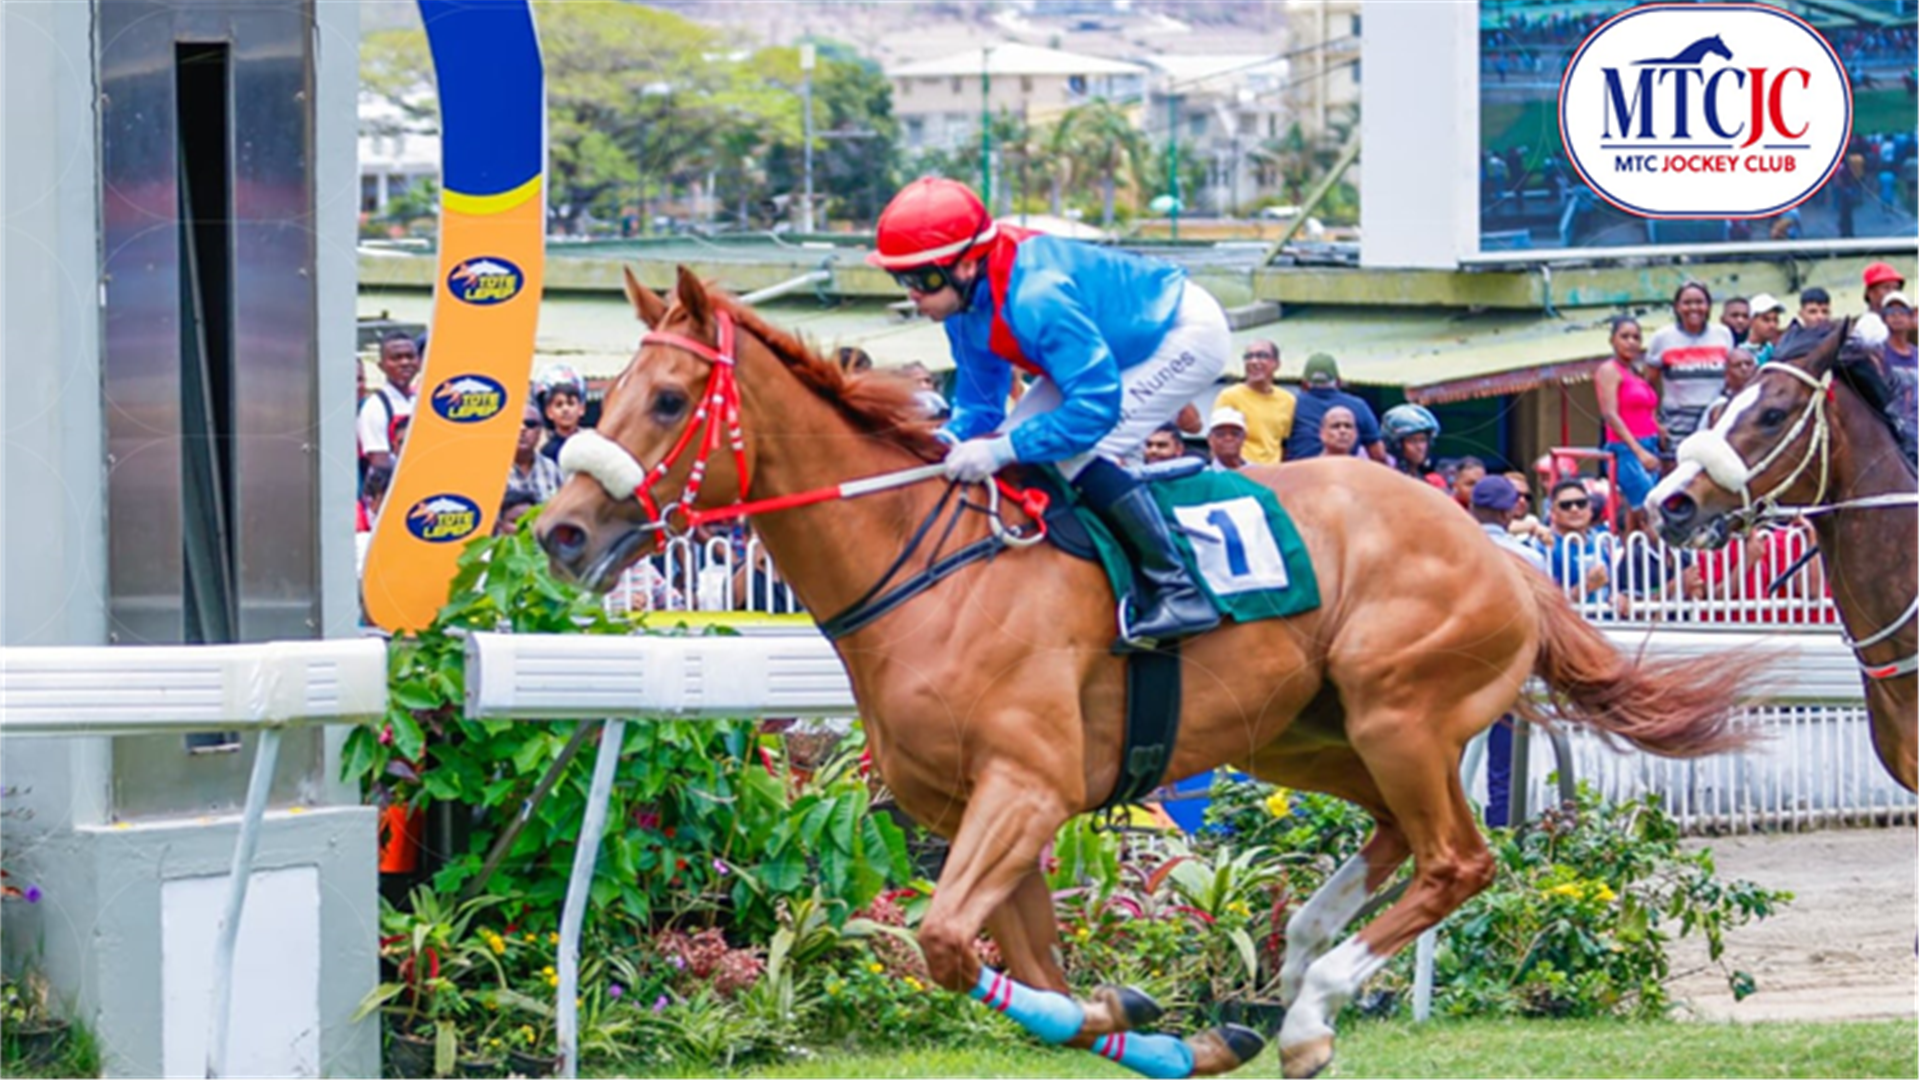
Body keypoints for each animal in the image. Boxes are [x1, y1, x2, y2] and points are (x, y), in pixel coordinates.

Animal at [537, 267, 1764, 1080]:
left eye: (664, 400)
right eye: (599, 397)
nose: (558, 532)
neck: (929, 576)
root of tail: (1499, 549)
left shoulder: (1024, 791)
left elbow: (945, 947)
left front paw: (1174, 1031)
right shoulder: (990, 816)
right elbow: (1030, 972)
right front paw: (1166, 1022)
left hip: (1400, 711)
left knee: (1457, 860)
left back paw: (1311, 1008)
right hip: (1307, 734)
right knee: (1396, 839)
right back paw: (1299, 957)